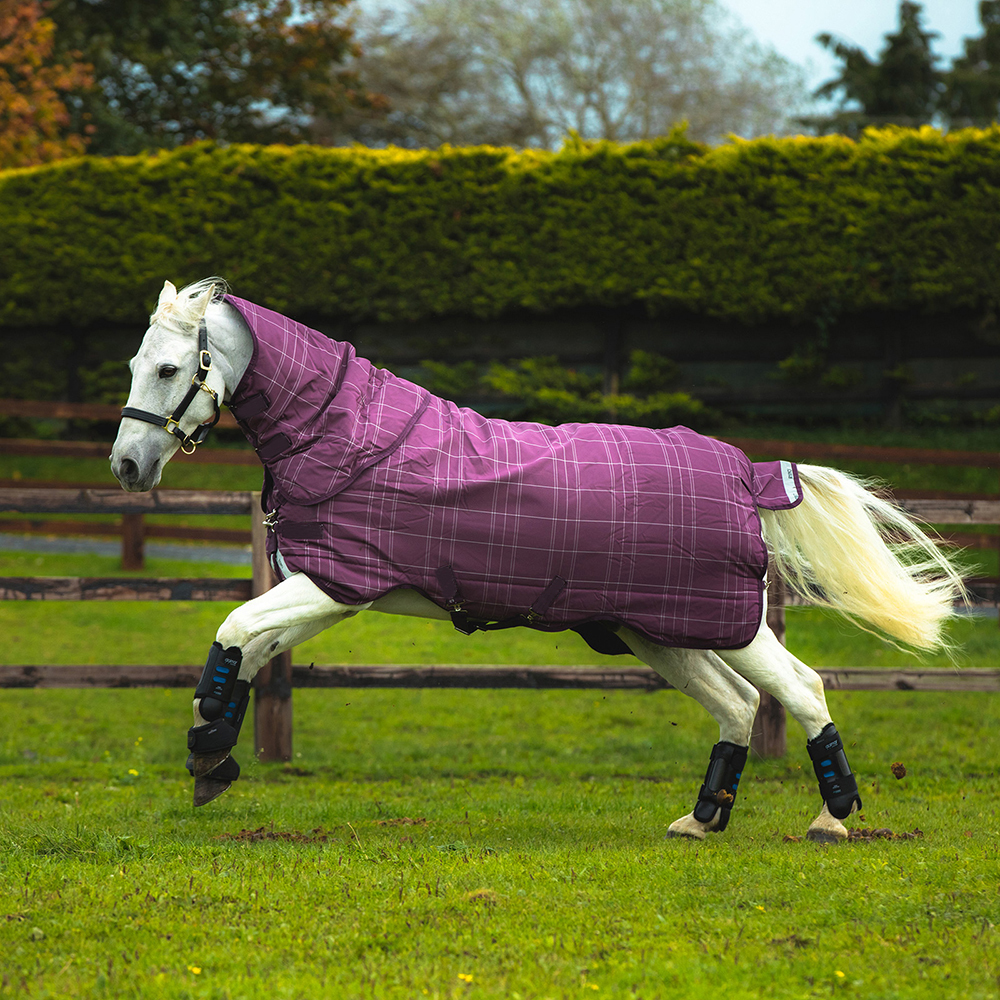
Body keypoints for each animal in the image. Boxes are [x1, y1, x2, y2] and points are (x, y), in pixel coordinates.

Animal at [110, 279, 966, 842]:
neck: (347, 435)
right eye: (133, 365)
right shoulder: (329, 593)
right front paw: (212, 758)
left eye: (166, 369)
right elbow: (248, 652)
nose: (125, 465)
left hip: (729, 624)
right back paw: (700, 820)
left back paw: (831, 819)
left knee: (801, 689)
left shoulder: (336, 584)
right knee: (737, 704)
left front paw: (207, 755)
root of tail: (746, 473)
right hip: (661, 632)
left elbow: (233, 631)